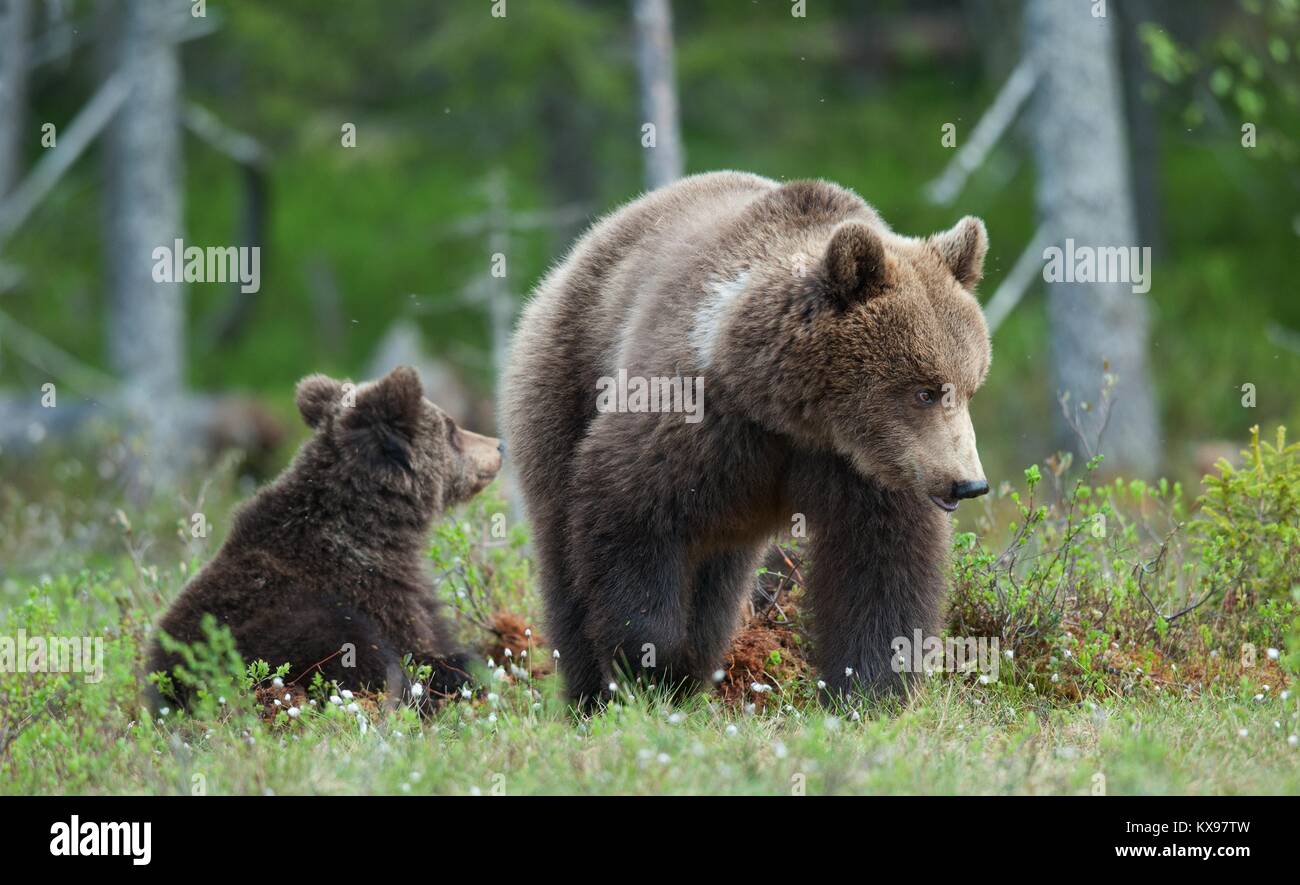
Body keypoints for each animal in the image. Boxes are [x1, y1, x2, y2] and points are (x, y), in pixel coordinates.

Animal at [147, 365, 503, 710]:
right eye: (452, 429)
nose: (498, 445)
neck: (381, 532)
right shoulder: (372, 591)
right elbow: (418, 649)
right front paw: (465, 669)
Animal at [502, 171, 991, 706]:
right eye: (925, 391)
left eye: (970, 386)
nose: (969, 483)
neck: (796, 416)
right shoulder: (700, 418)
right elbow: (629, 513)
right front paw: (648, 662)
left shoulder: (869, 469)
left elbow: (882, 566)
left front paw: (869, 690)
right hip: (567, 374)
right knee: (564, 553)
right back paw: (591, 694)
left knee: (716, 589)